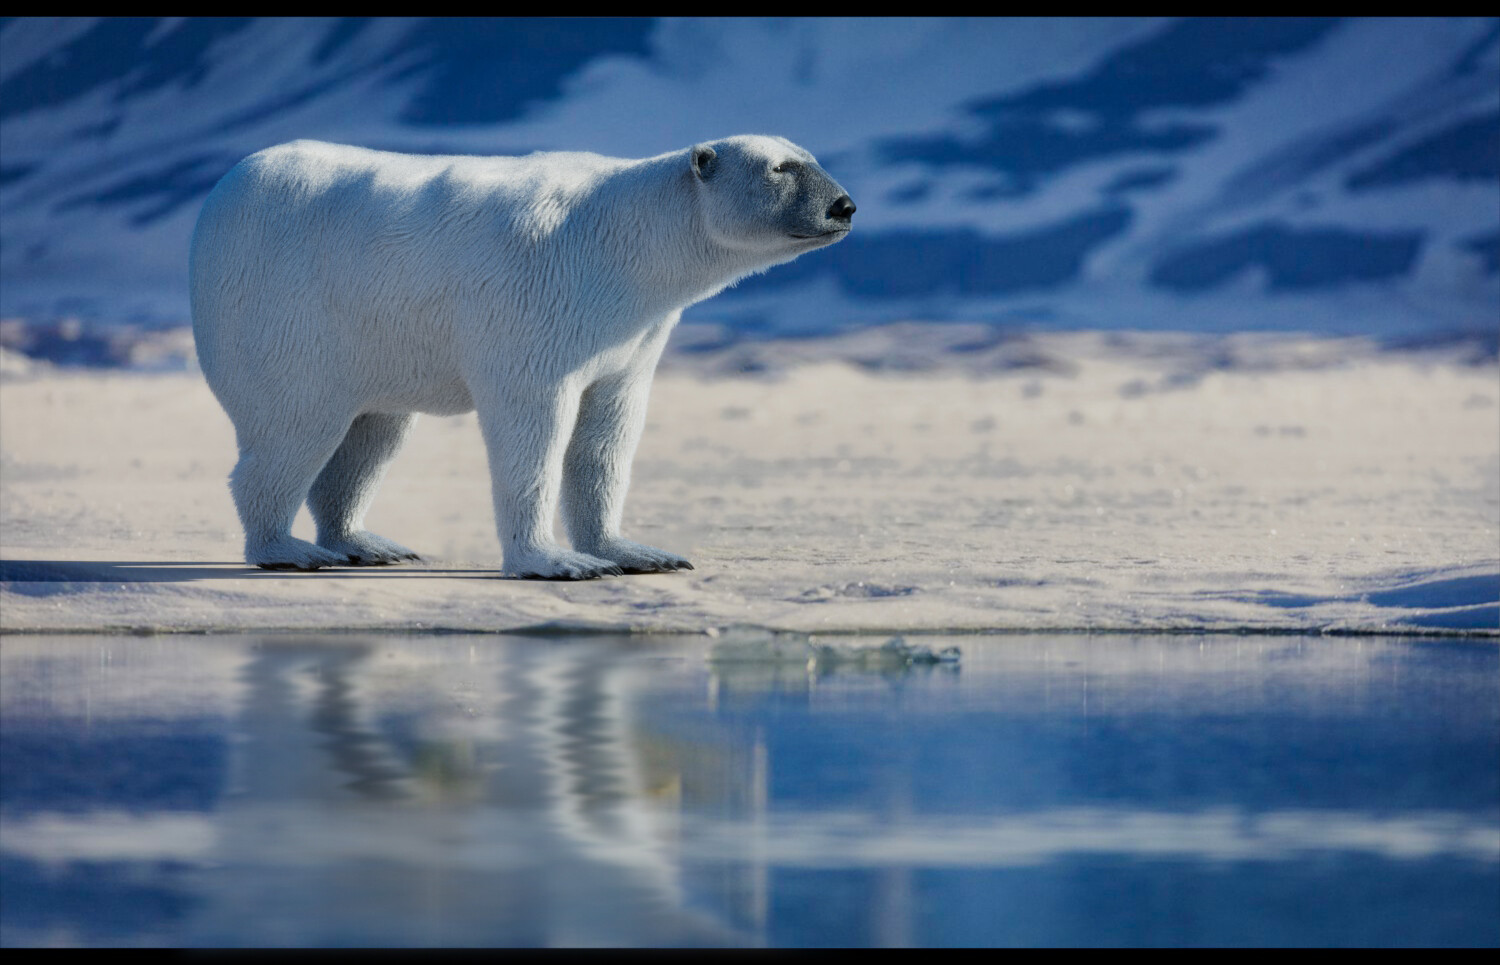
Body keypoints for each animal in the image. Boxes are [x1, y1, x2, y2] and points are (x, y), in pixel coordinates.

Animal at [190, 135, 855, 579]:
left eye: (808, 157)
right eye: (781, 167)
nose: (844, 206)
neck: (620, 239)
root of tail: (226, 188)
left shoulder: (631, 330)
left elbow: (608, 432)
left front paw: (638, 553)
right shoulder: (535, 298)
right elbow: (532, 427)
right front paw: (556, 561)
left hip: (375, 338)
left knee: (373, 434)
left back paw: (367, 542)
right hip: (287, 313)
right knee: (295, 426)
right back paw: (287, 549)